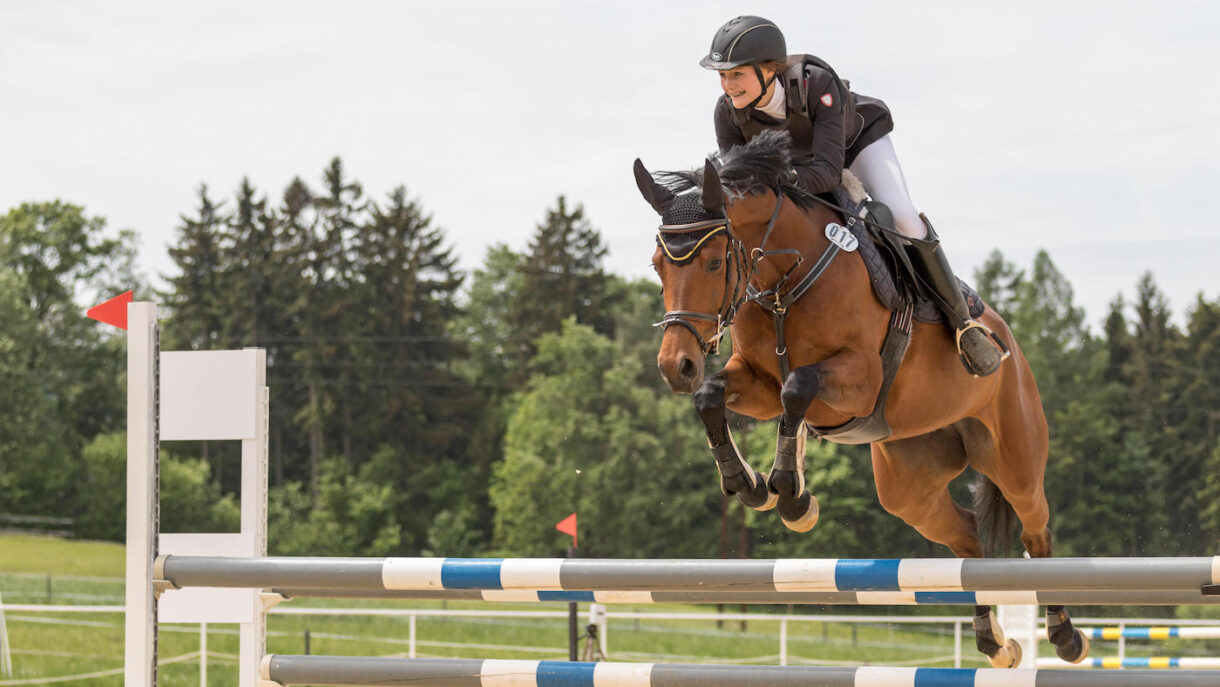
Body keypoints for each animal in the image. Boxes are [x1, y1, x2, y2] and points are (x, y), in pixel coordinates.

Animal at [633, 130, 1089, 668]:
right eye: (657, 266)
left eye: (716, 261)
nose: (675, 365)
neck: (784, 281)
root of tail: (1010, 345)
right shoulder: (759, 383)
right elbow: (713, 397)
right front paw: (751, 485)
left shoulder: (860, 379)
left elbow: (797, 386)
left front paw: (790, 494)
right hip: (909, 484)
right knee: (968, 536)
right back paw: (993, 643)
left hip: (1014, 458)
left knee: (1036, 531)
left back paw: (1065, 635)